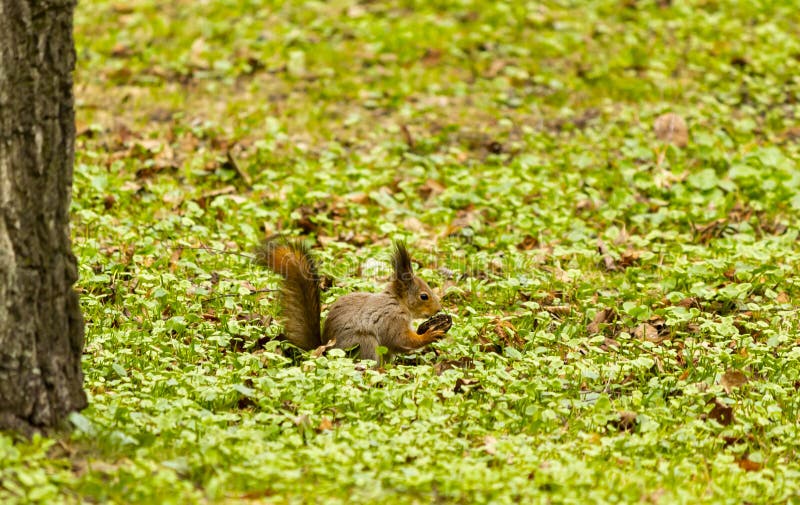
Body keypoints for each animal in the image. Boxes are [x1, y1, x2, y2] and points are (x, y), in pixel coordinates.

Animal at [256, 239, 447, 363]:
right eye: (424, 296)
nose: (438, 310)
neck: (398, 302)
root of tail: (324, 350)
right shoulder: (391, 318)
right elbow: (402, 340)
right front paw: (431, 335)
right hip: (363, 343)